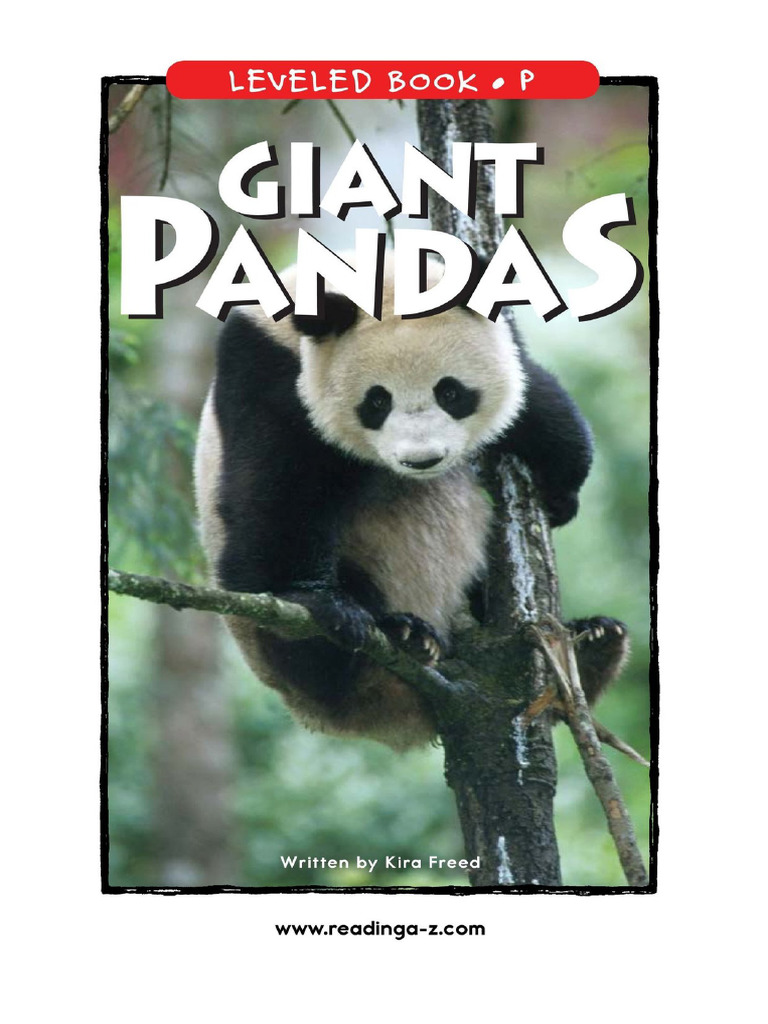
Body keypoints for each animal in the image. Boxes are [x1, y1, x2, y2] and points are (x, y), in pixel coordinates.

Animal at [194, 260, 629, 750]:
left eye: (451, 393)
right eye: (377, 401)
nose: (422, 460)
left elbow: (533, 394)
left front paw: (561, 490)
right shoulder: (266, 371)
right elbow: (275, 500)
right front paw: (321, 602)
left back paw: (592, 643)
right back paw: (398, 635)